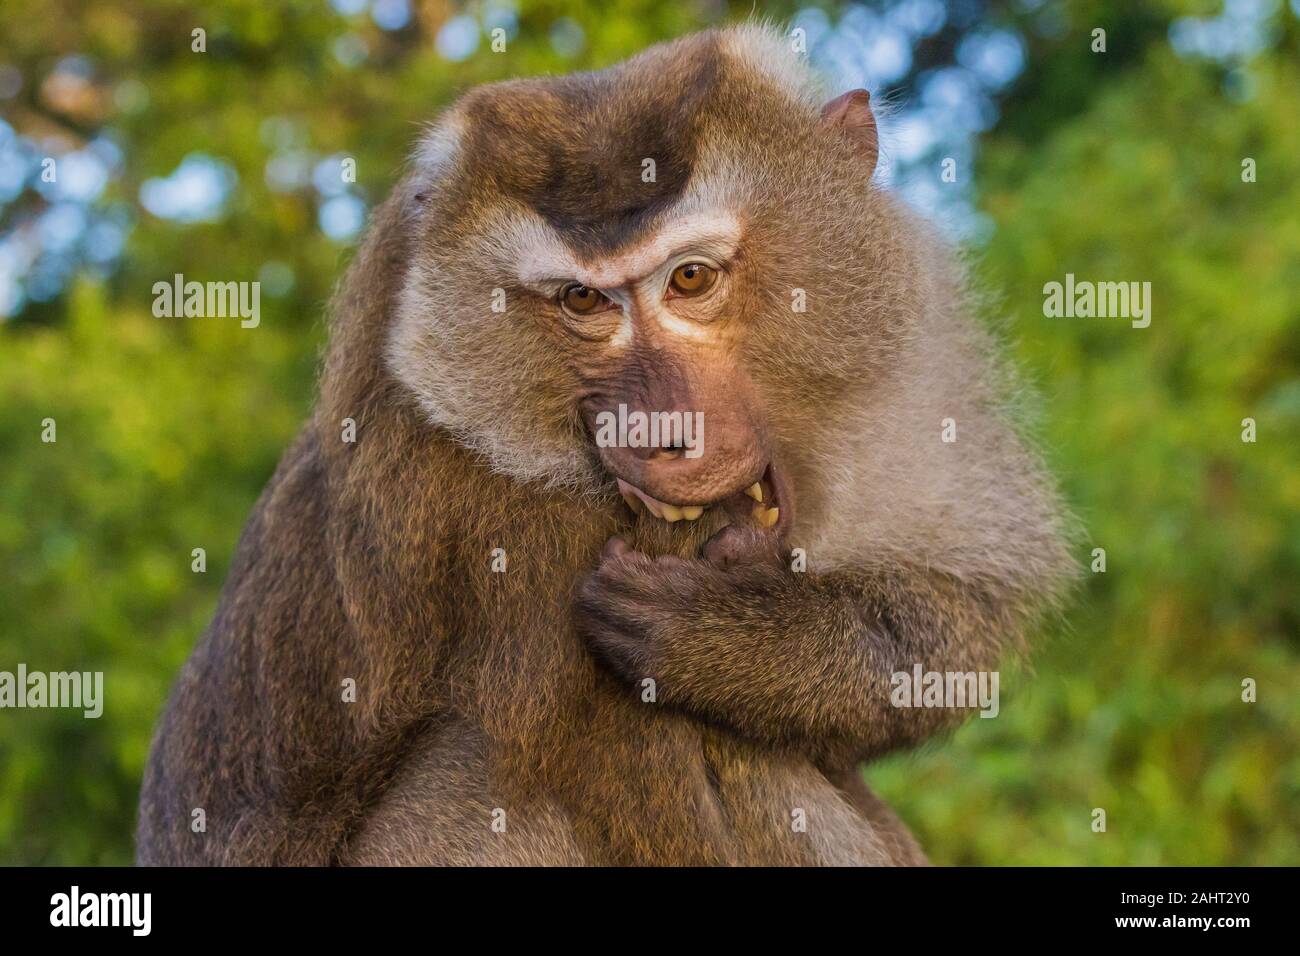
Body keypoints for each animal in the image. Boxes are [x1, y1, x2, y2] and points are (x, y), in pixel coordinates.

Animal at [136, 24, 1073, 866]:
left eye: (690, 277)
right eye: (584, 302)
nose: (658, 433)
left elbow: (953, 624)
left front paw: (722, 639)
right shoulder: (506, 523)